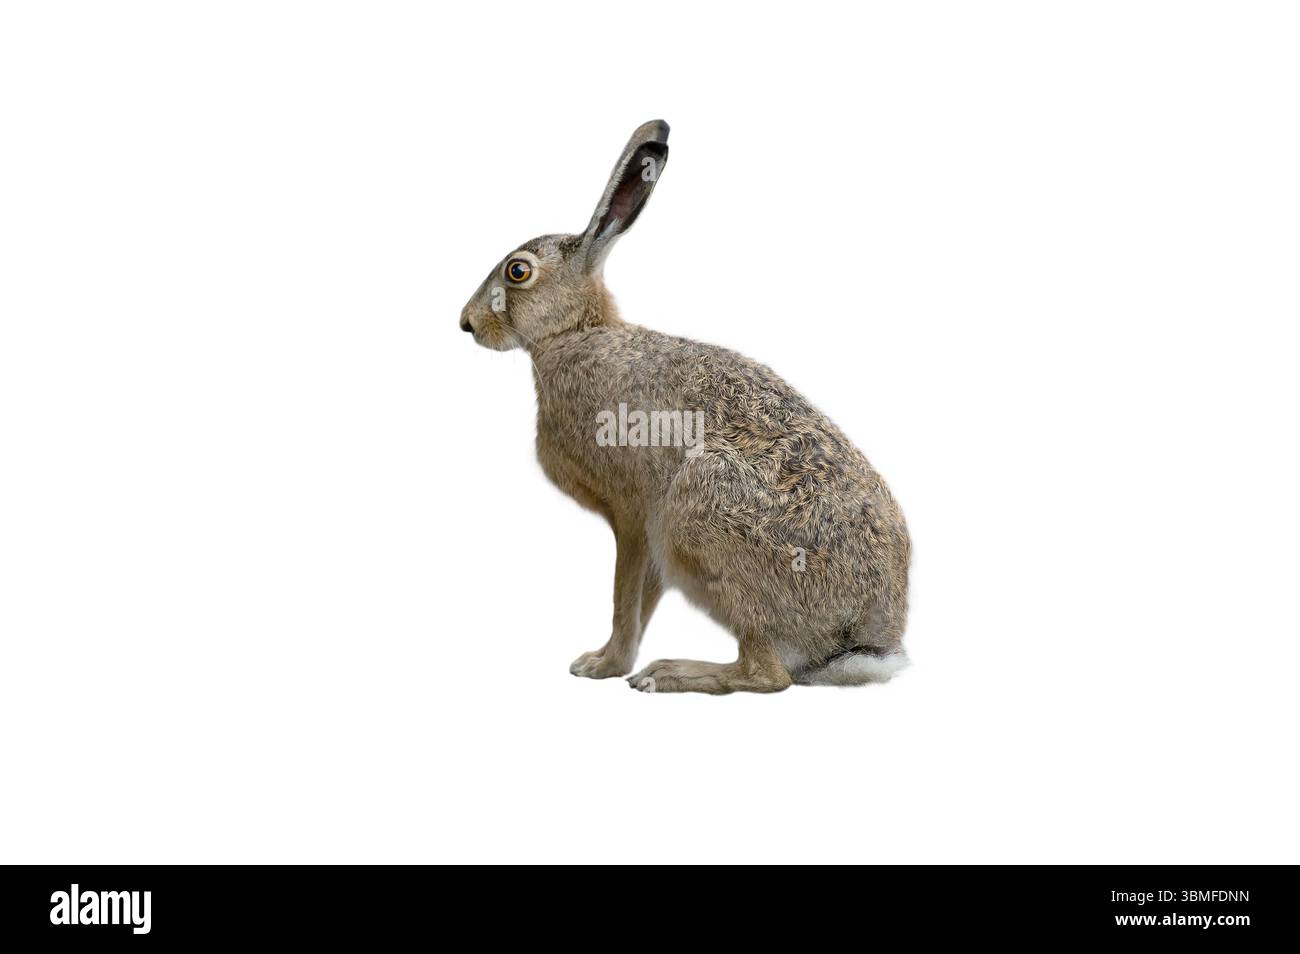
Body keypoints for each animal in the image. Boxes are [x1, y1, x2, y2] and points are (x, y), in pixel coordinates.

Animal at [458, 120, 910, 693]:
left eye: (517, 272)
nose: (466, 323)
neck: (574, 333)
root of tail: (861, 643)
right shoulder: (645, 531)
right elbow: (640, 601)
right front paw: (602, 661)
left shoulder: (633, 516)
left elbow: (624, 598)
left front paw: (603, 667)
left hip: (700, 514)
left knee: (768, 674)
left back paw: (669, 673)